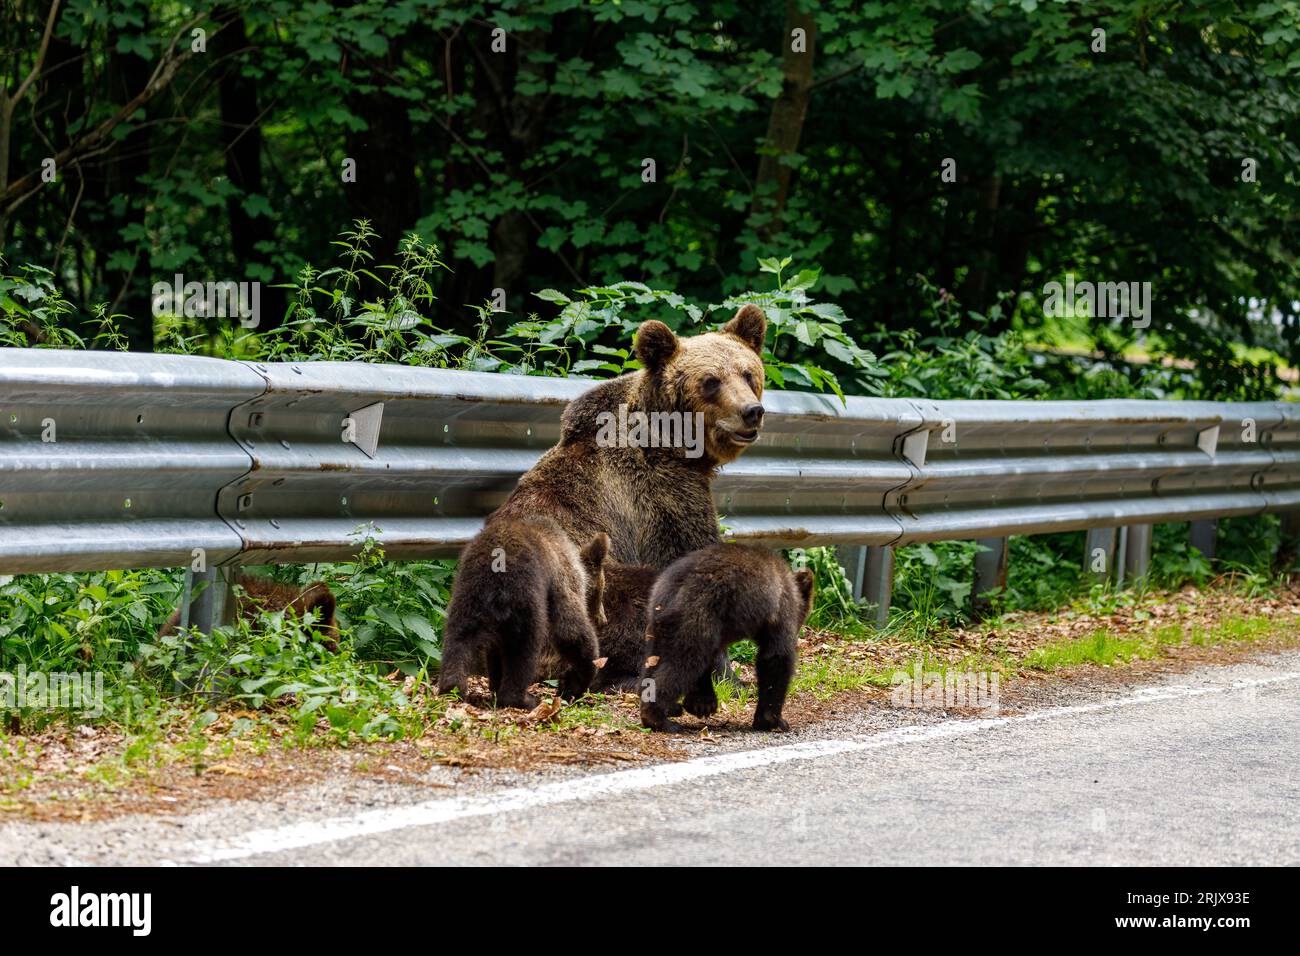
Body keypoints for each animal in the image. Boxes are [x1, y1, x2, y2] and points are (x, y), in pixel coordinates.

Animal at [437, 514, 598, 709]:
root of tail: (497, 567)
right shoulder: (561, 574)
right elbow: (571, 629)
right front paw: (580, 678)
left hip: (468, 594)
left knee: (459, 637)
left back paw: (452, 688)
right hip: (525, 599)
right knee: (523, 649)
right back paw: (522, 698)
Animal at [638, 544, 815, 733]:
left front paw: (702, 703)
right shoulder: (779, 612)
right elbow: (776, 657)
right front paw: (773, 720)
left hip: (658, 626)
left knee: (654, 661)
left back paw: (669, 707)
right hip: (696, 613)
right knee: (683, 663)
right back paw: (659, 718)